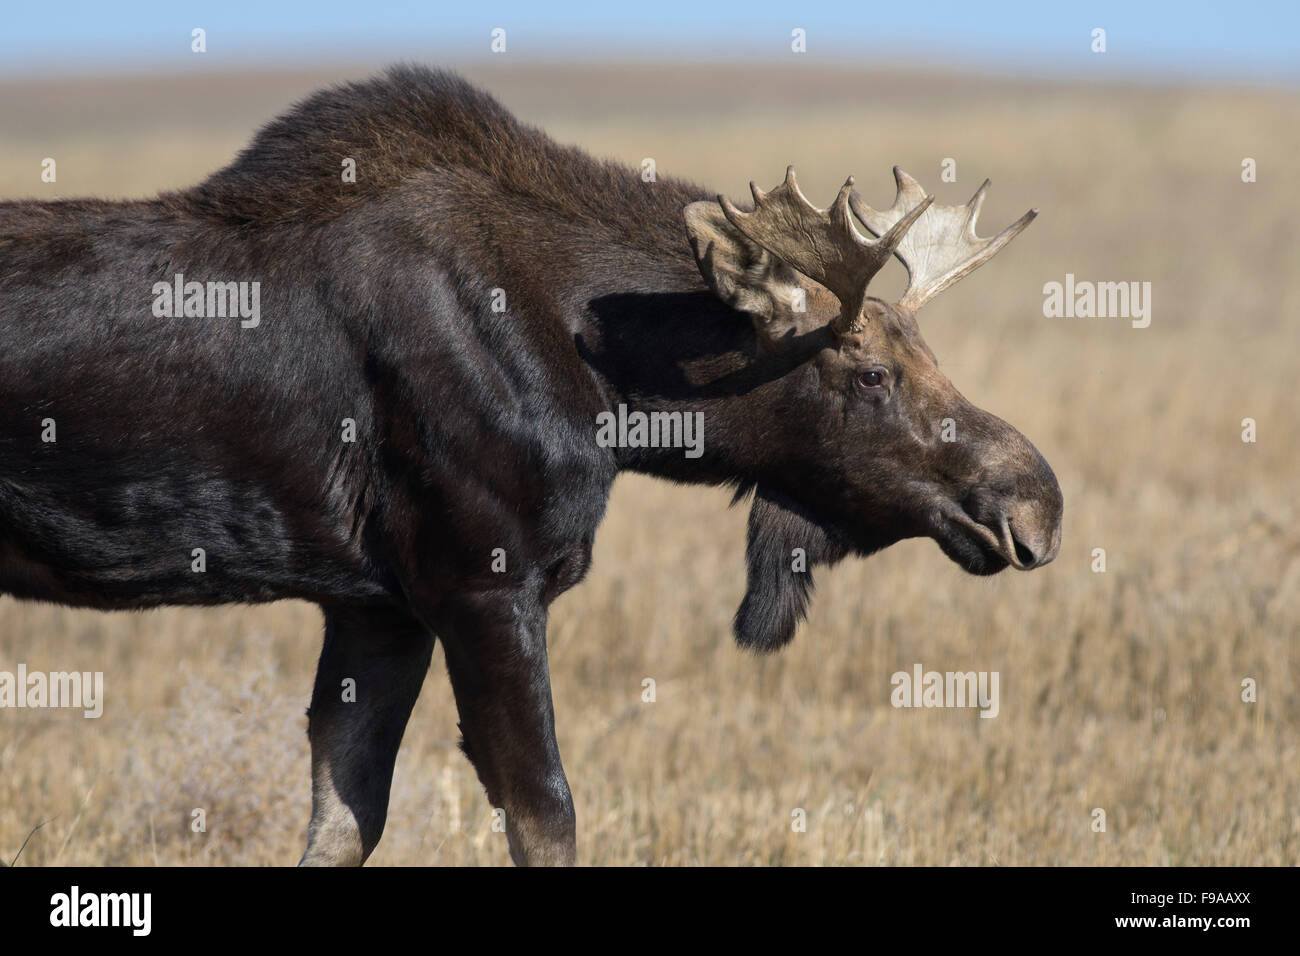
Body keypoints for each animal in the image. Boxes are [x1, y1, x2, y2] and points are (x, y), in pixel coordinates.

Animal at [0, 66, 1062, 866]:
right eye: (873, 373)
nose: (1036, 504)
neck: (613, 389)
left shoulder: (376, 606)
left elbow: (344, 818)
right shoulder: (482, 584)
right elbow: (545, 814)